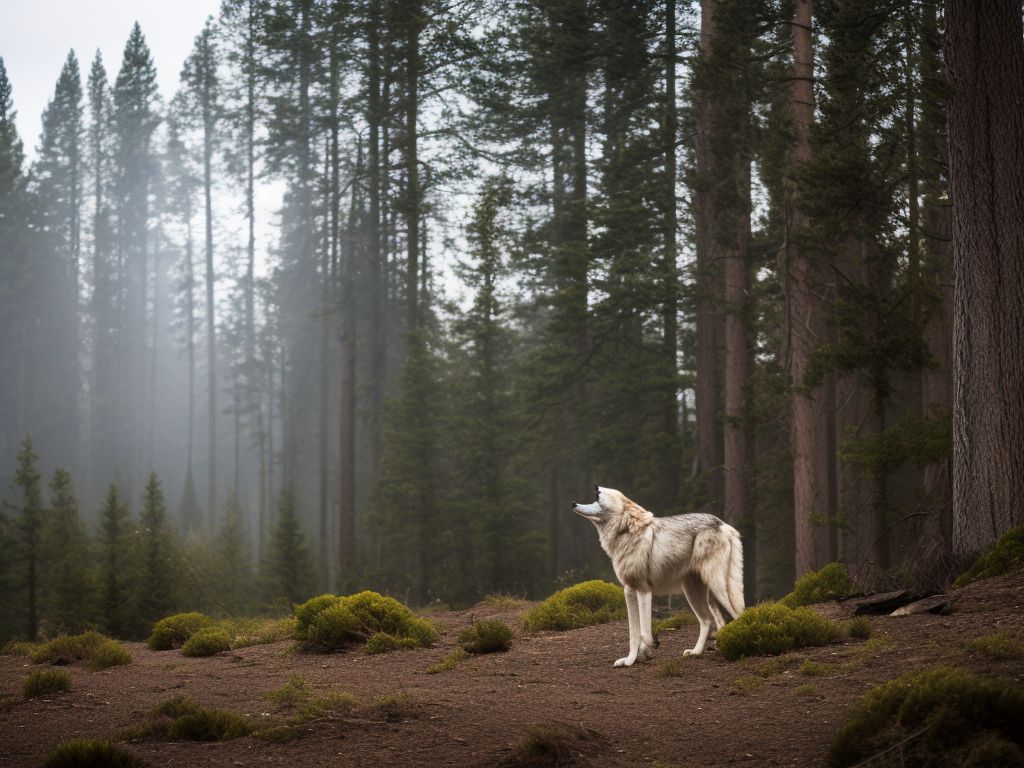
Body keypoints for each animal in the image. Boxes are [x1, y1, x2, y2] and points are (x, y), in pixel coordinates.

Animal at [572, 487, 744, 667]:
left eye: (597, 496)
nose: (573, 503)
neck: (627, 533)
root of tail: (725, 526)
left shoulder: (643, 591)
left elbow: (643, 633)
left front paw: (648, 648)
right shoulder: (629, 590)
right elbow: (634, 634)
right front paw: (632, 659)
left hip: (719, 588)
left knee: (736, 614)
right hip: (695, 593)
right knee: (709, 621)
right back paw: (697, 652)